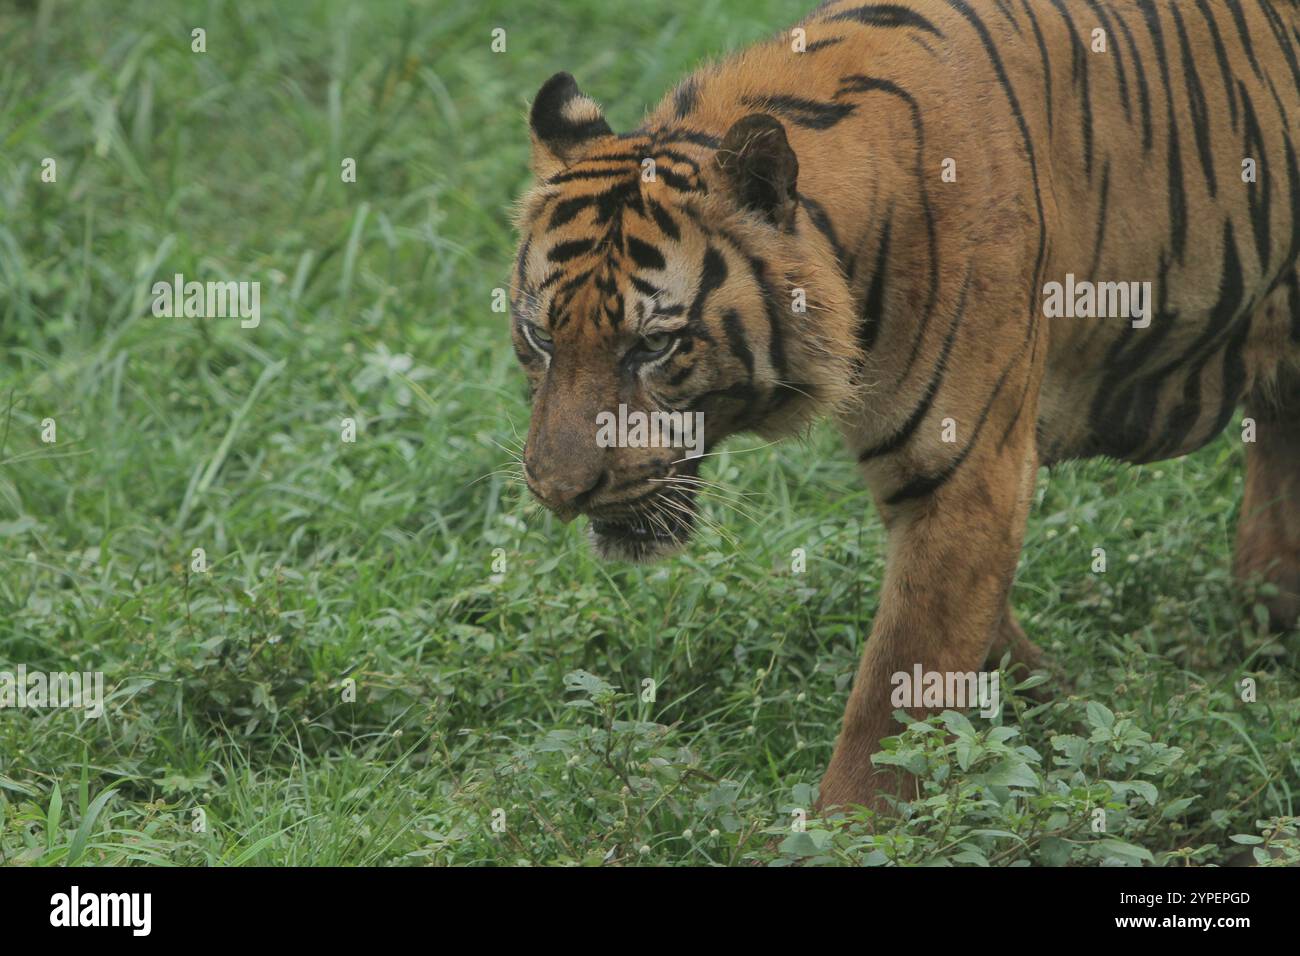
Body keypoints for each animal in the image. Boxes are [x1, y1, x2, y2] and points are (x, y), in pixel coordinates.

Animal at [508, 0, 1300, 811]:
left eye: (654, 345)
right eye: (540, 336)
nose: (557, 492)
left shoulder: (964, 472)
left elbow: (898, 682)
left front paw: (842, 825)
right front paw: (1050, 703)